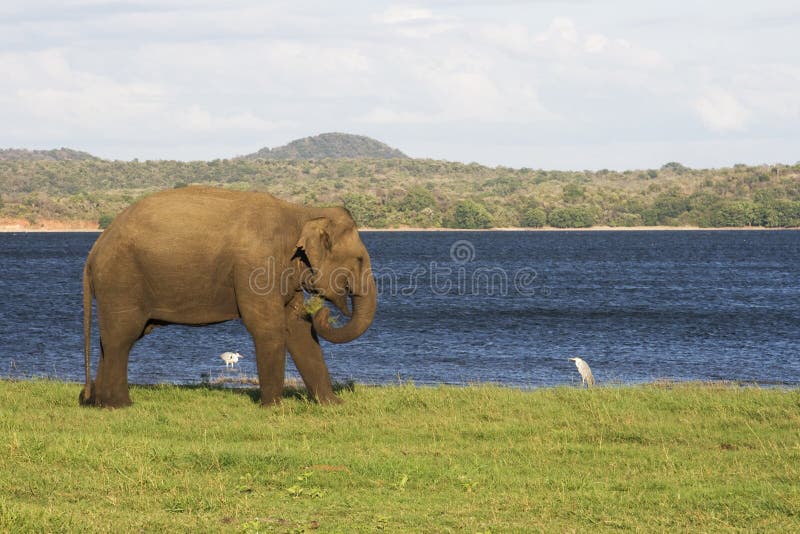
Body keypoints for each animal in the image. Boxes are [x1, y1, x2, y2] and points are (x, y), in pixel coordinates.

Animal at [79, 186, 377, 407]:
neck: (303, 212)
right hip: (121, 281)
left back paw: (100, 404)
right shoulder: (256, 266)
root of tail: (94, 251)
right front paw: (274, 407)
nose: (323, 311)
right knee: (122, 337)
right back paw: (121, 405)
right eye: (359, 260)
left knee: (114, 338)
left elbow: (298, 329)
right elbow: (268, 327)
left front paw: (332, 405)